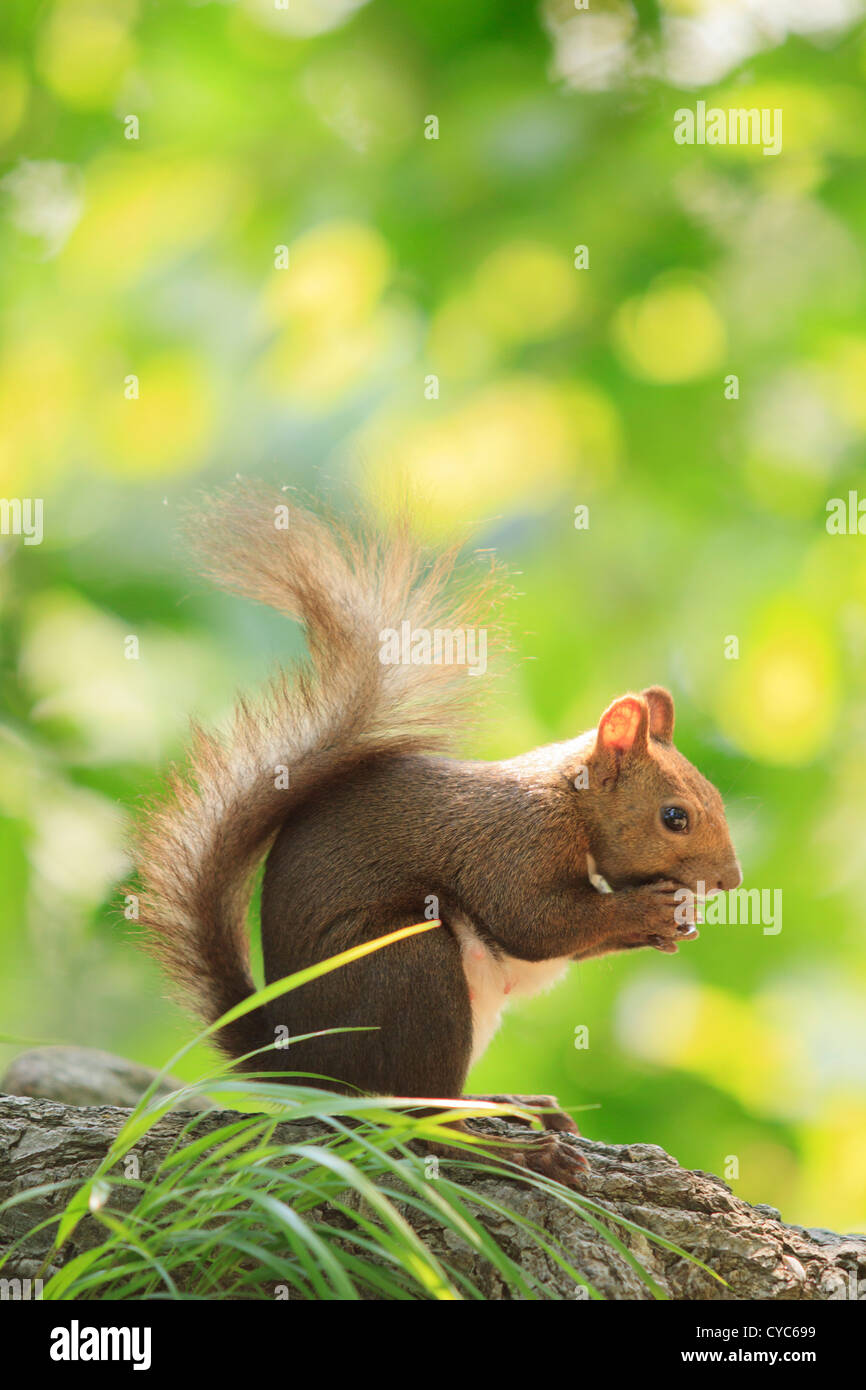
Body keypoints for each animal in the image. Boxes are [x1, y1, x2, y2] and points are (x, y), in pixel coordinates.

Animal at [132, 482, 741, 1185]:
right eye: (675, 817)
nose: (731, 881)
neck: (573, 806)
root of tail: (310, 1071)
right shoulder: (512, 846)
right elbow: (535, 922)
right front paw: (648, 909)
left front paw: (673, 925)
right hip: (412, 972)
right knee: (422, 1124)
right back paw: (517, 1152)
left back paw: (511, 1104)